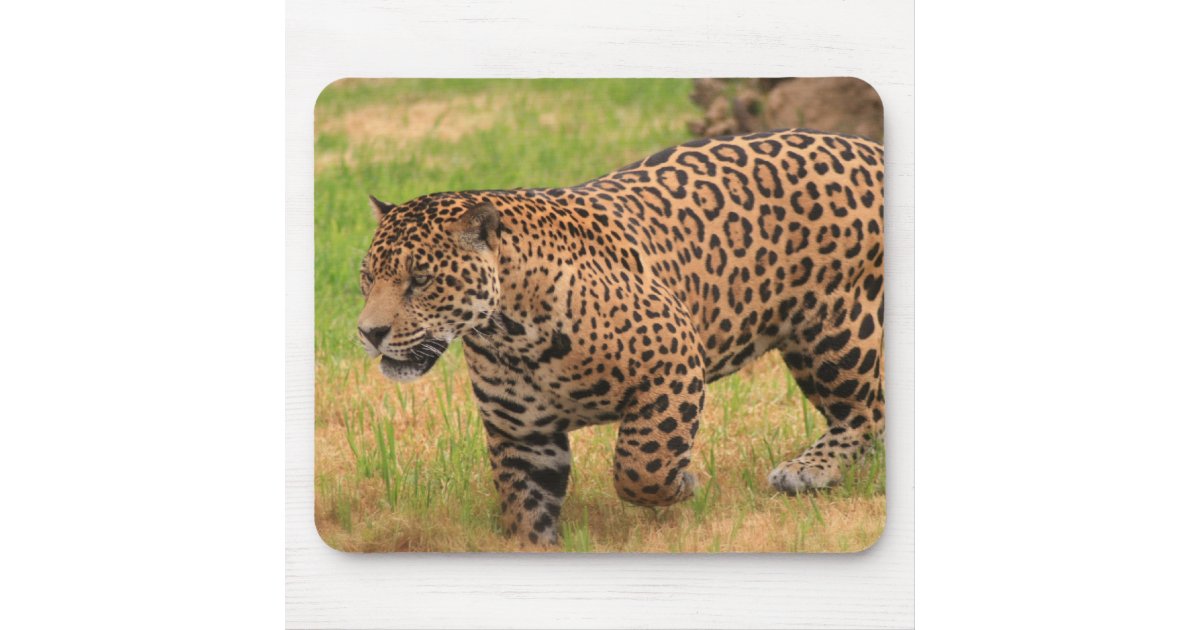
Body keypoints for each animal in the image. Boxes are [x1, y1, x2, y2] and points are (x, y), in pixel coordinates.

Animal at [355, 128, 884, 546]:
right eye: (368, 277)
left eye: (421, 279)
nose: (368, 332)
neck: (510, 333)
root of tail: (871, 147)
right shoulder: (522, 435)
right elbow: (525, 510)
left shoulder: (674, 364)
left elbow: (640, 465)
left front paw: (685, 484)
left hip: (838, 333)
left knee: (865, 415)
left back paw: (807, 471)